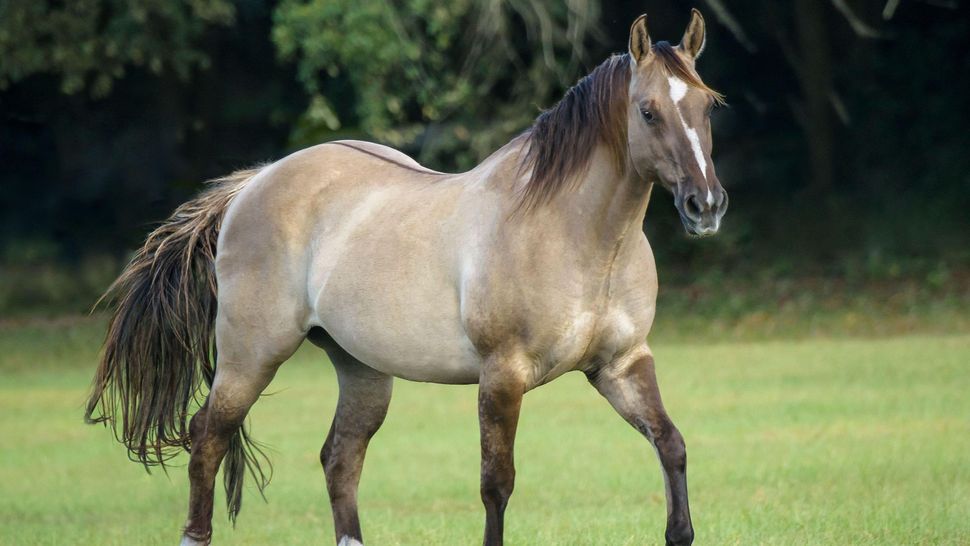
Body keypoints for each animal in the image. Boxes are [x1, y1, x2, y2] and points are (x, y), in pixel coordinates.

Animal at [85, 10, 726, 546]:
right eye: (648, 111)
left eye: (706, 107)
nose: (706, 206)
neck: (578, 237)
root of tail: (253, 183)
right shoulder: (503, 376)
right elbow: (497, 484)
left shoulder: (620, 365)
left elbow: (672, 446)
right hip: (251, 356)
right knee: (207, 440)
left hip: (361, 370)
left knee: (340, 459)